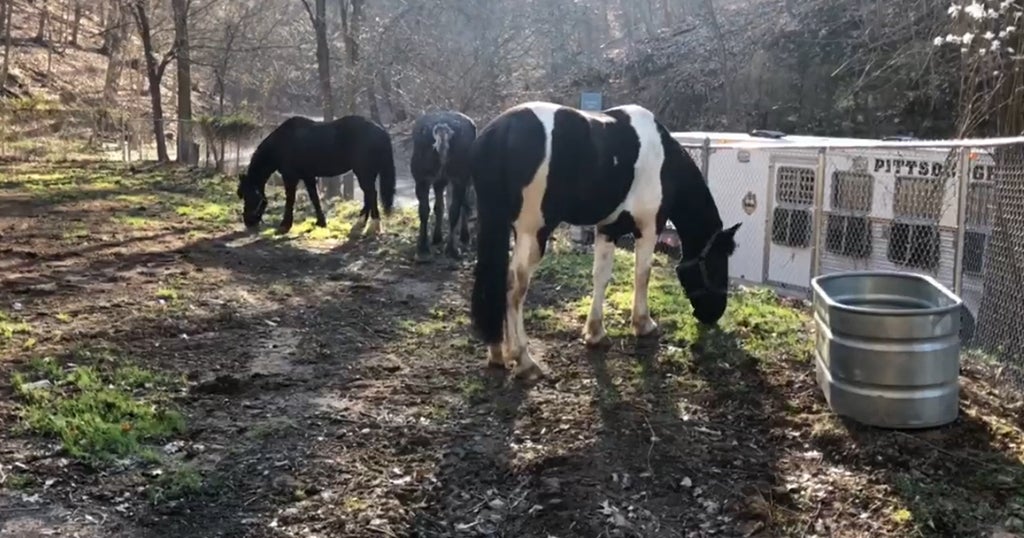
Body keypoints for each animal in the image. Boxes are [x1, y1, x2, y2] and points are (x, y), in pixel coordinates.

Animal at [236, 115, 396, 236]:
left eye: (249, 195)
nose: (248, 222)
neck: (284, 143)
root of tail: (381, 131)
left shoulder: (290, 177)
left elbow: (290, 199)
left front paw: (284, 225)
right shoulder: (308, 177)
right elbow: (314, 198)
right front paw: (321, 222)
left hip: (364, 172)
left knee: (371, 194)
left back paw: (372, 227)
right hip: (366, 173)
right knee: (369, 195)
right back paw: (360, 225)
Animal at [409, 110, 477, 260]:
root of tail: (442, 129)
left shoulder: (439, 180)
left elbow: (438, 207)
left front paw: (437, 238)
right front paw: (464, 236)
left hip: (422, 178)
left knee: (424, 209)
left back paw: (423, 250)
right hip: (457, 177)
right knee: (455, 209)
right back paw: (452, 248)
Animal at [469, 101, 742, 380]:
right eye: (717, 262)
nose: (715, 313)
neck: (665, 159)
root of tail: (500, 131)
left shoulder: (608, 229)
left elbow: (600, 276)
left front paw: (595, 333)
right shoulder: (649, 228)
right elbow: (642, 274)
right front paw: (643, 324)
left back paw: (497, 353)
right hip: (532, 233)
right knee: (515, 288)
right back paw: (524, 359)